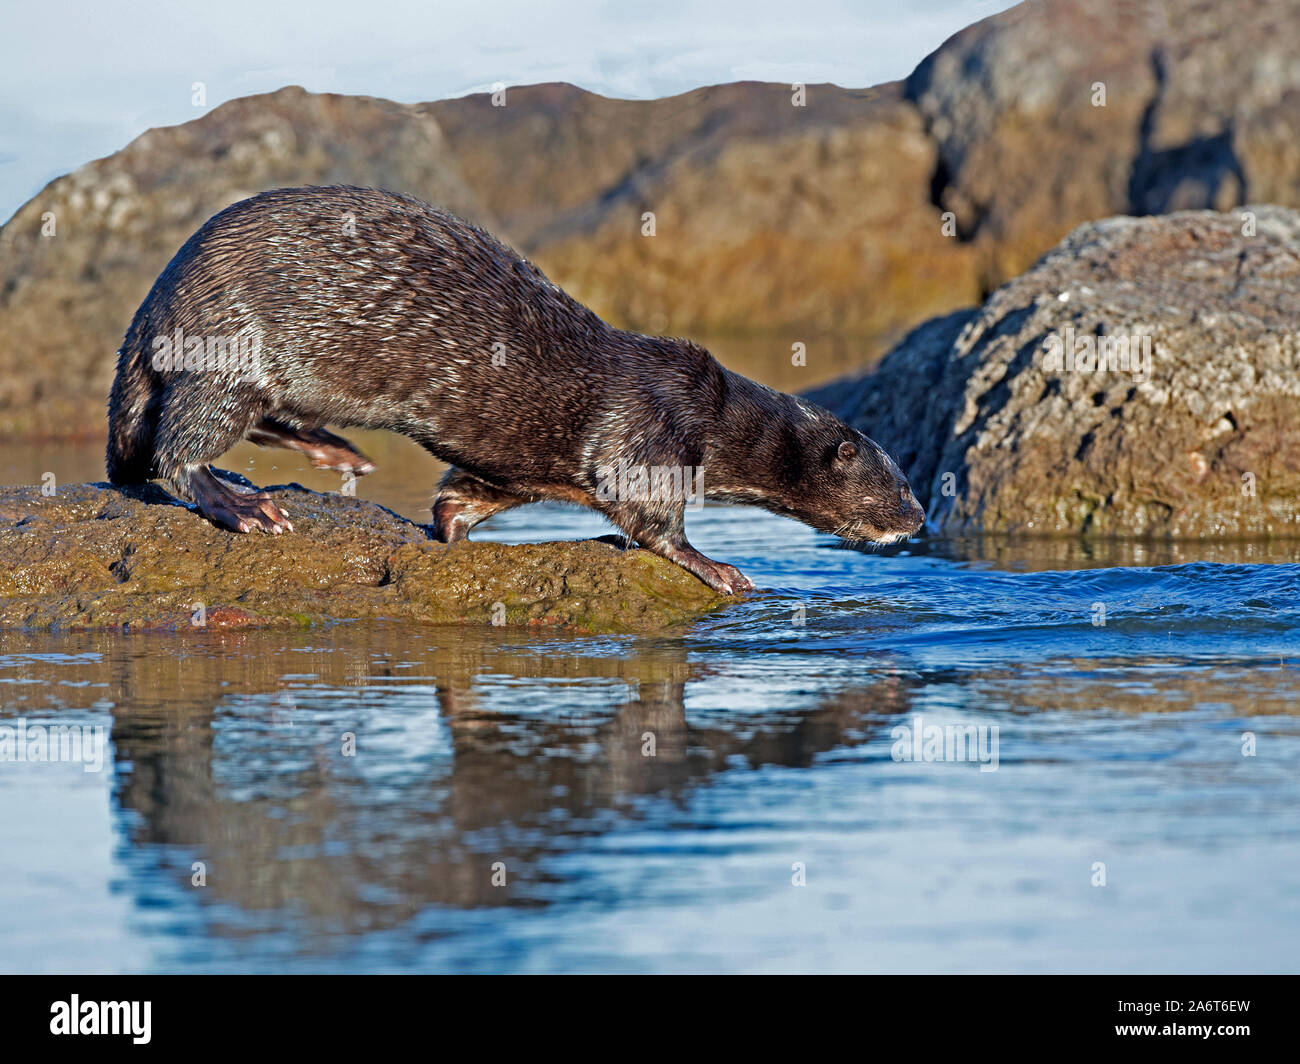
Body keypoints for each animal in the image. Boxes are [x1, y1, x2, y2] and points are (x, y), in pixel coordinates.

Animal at [107, 186, 924, 594]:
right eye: (899, 483)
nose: (918, 522)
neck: (715, 414)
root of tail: (161, 295)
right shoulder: (649, 428)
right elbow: (648, 514)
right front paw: (718, 568)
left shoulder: (522, 464)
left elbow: (472, 488)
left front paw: (452, 527)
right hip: (229, 352)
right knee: (176, 452)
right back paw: (247, 507)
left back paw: (339, 454)